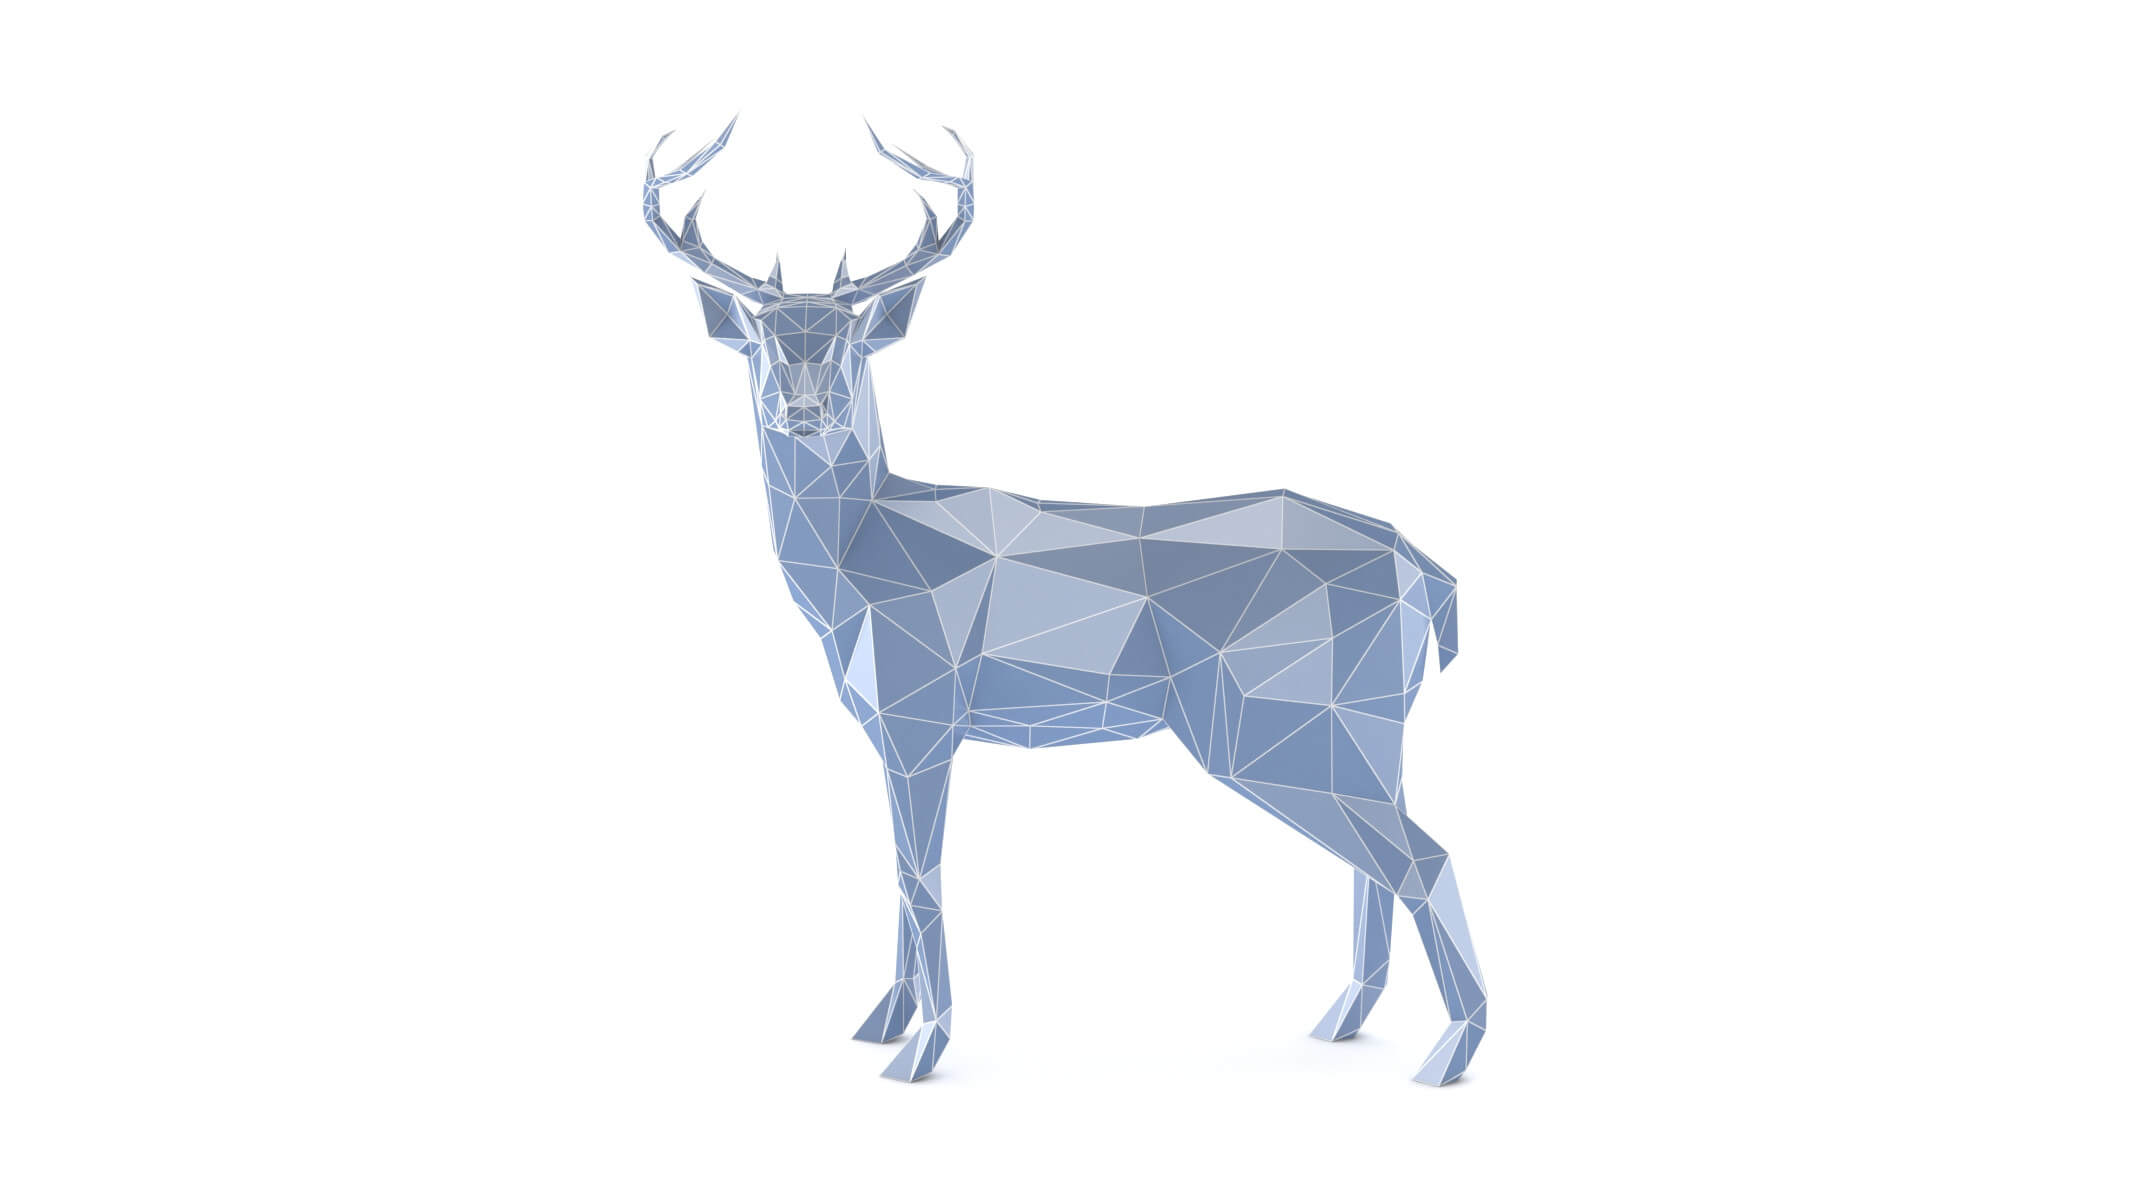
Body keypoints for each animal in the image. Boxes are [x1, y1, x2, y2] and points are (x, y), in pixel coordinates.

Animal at [643, 118, 1487, 1084]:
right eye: (759, 341)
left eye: (853, 341)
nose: (805, 410)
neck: (858, 560)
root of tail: (1427, 576)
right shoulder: (892, 730)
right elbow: (897, 869)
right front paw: (881, 1021)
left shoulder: (923, 715)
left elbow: (923, 875)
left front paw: (920, 1049)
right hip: (1353, 732)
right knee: (1377, 864)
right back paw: (1344, 1018)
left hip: (1281, 722)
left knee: (1422, 856)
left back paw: (1448, 1051)